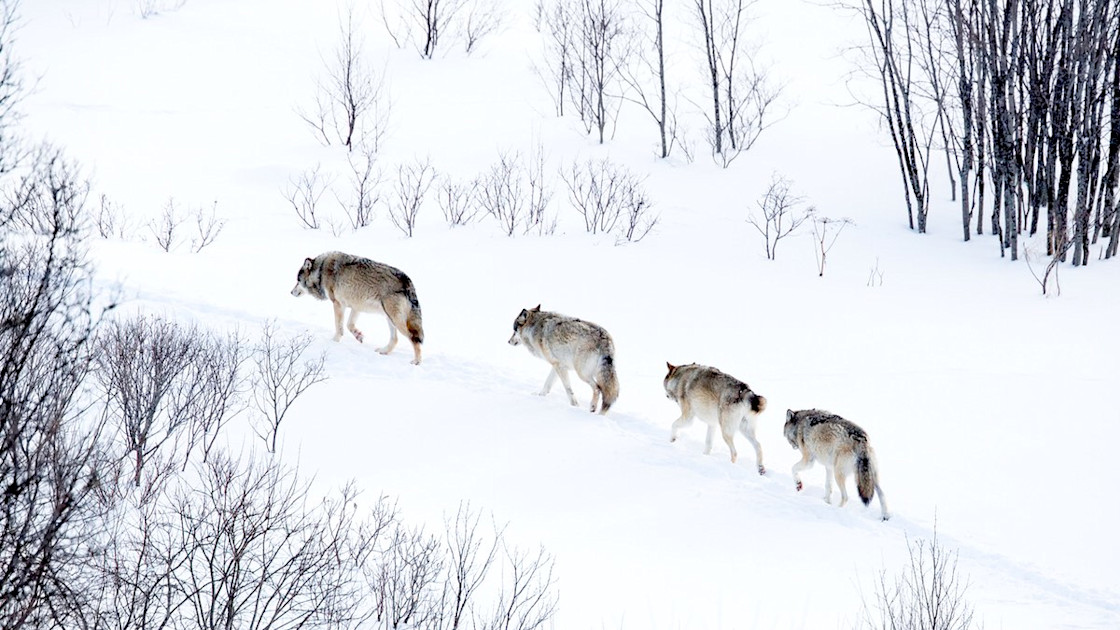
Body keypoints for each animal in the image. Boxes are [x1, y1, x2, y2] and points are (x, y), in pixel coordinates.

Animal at [291, 251, 424, 364]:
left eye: (297, 281)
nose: (291, 292)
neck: (320, 272)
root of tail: (407, 280)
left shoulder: (338, 304)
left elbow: (339, 327)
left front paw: (334, 342)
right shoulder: (356, 307)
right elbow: (349, 325)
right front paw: (358, 336)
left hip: (394, 319)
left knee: (413, 338)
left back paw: (416, 361)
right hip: (389, 318)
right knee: (395, 339)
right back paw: (383, 351)